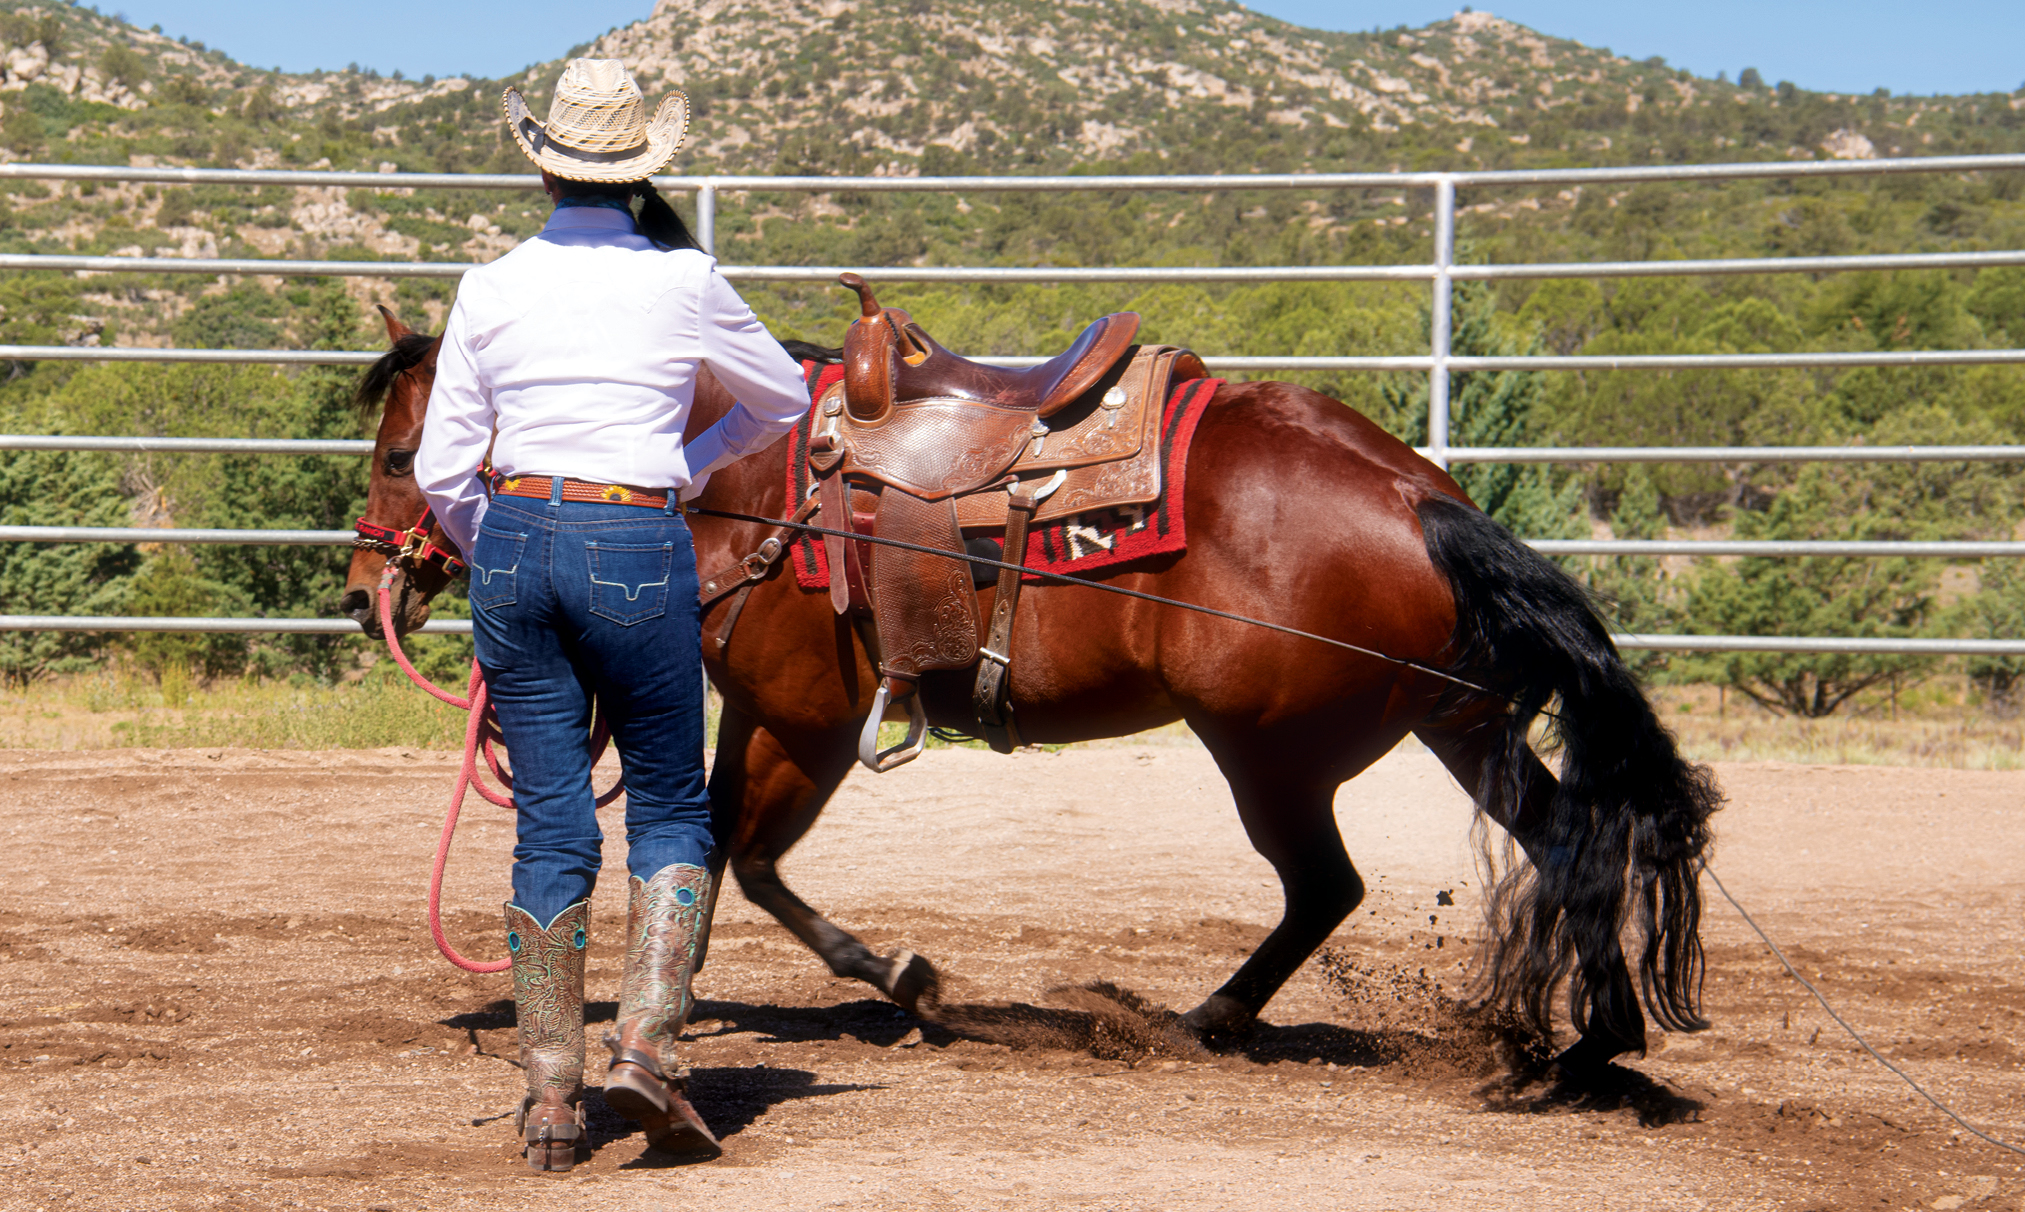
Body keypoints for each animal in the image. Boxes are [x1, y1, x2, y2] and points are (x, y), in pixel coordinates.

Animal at [342, 303, 1720, 1079]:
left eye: (403, 449)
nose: (365, 592)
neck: (747, 475)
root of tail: (1423, 501)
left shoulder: (806, 718)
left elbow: (746, 854)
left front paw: (901, 978)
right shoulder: (766, 716)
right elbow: (726, 850)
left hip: (1270, 753)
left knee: (1327, 886)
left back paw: (1202, 1021)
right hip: (1457, 723)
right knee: (1568, 837)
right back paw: (1597, 1042)